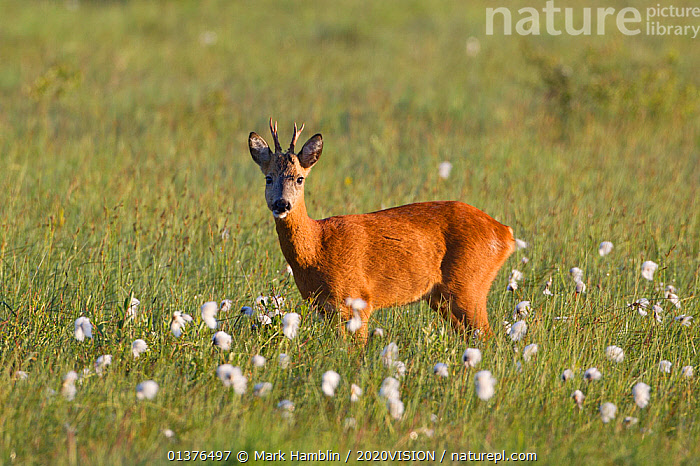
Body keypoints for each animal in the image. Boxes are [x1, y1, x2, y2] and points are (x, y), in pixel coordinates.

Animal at [249, 119, 515, 342]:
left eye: (300, 178)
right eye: (268, 178)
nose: (282, 204)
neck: (317, 247)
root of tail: (506, 232)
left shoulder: (358, 299)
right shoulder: (327, 309)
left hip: (469, 285)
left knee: (488, 338)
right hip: (443, 298)